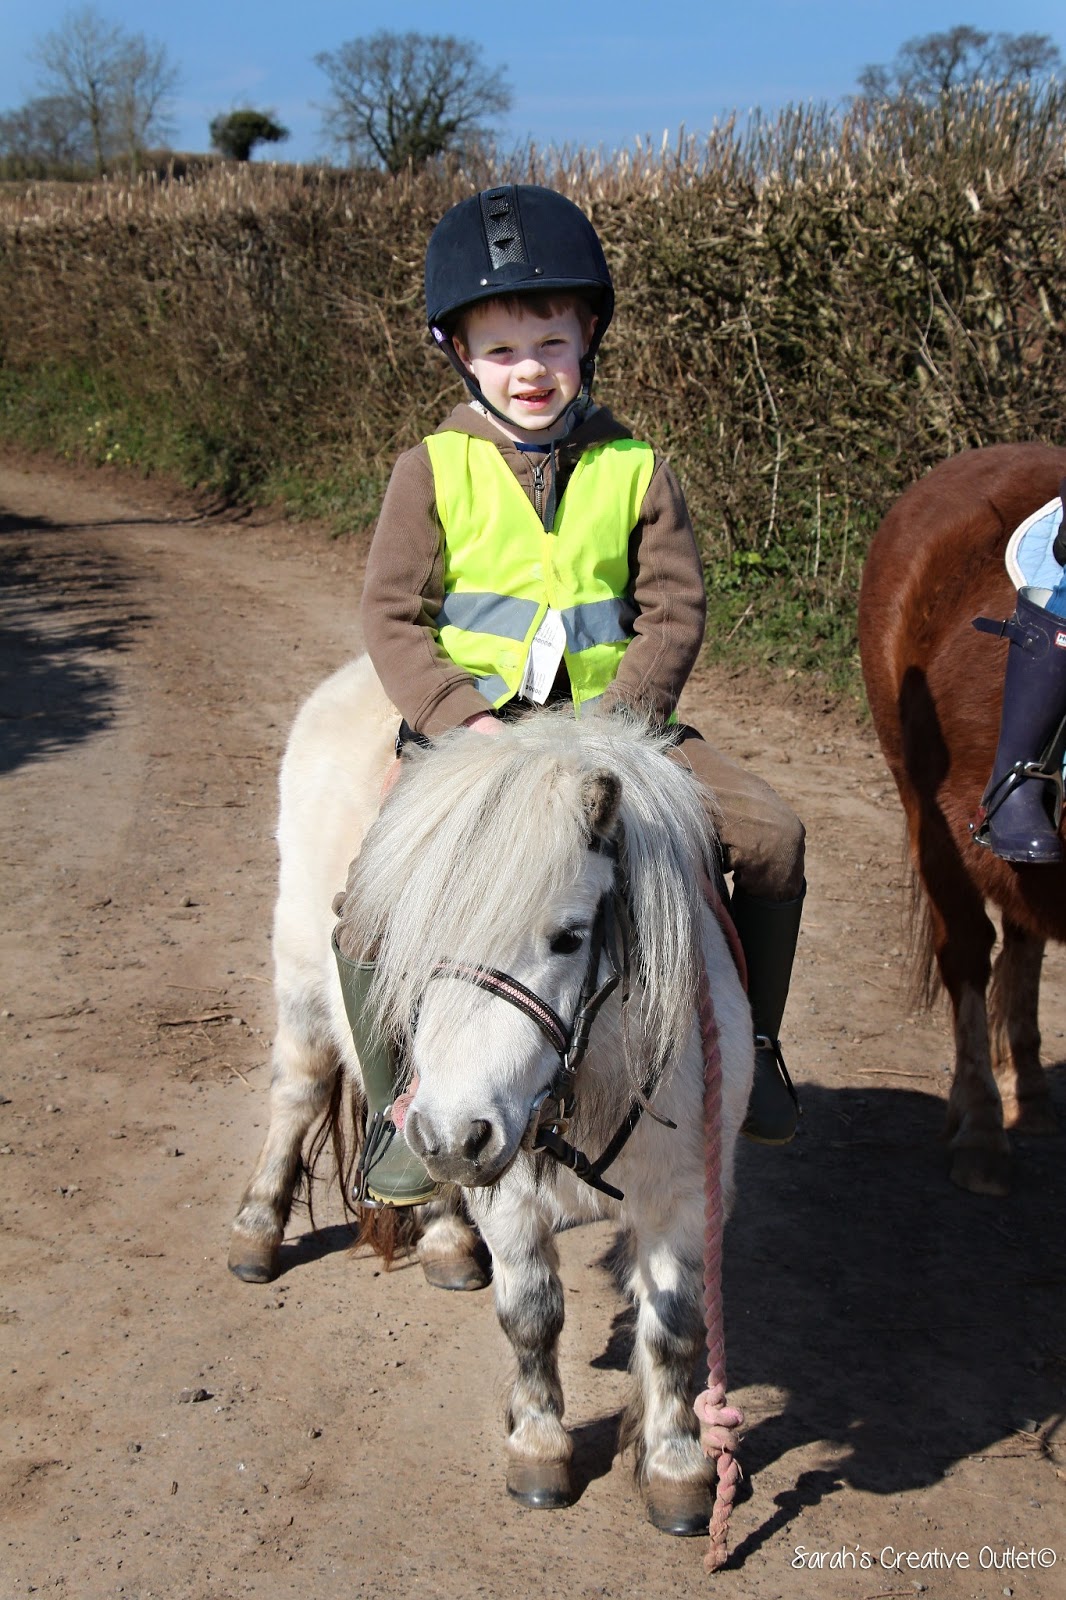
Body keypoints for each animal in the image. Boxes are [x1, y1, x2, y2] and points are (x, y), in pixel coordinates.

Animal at [228, 654, 755, 1547]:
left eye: (569, 936)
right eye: (415, 930)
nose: (455, 1134)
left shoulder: (686, 1189)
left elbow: (677, 1326)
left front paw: (677, 1466)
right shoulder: (507, 1186)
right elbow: (532, 1314)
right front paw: (539, 1451)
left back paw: (443, 1238)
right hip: (305, 984)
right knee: (299, 1095)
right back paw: (257, 1232)